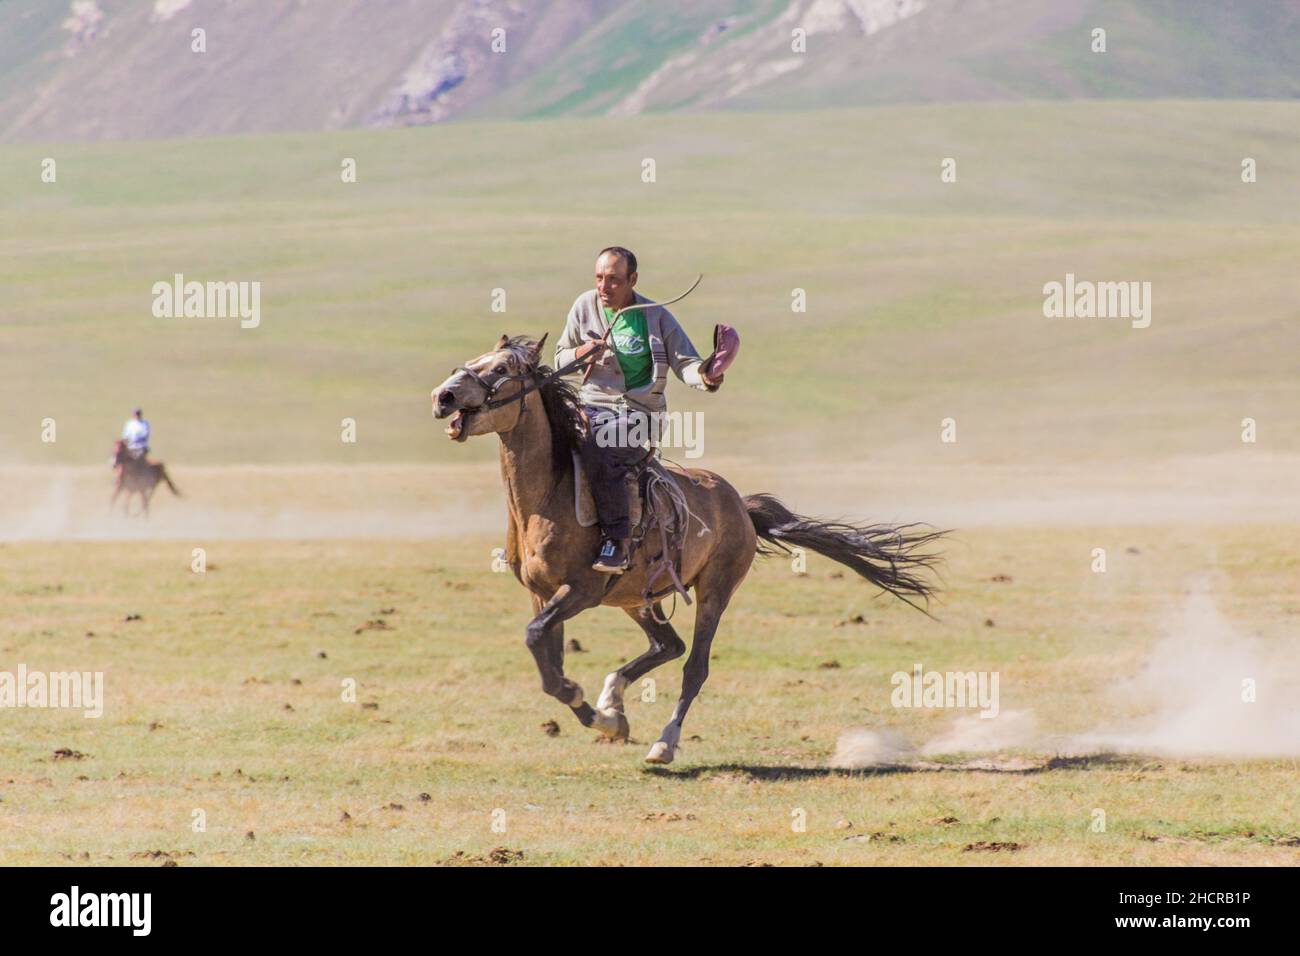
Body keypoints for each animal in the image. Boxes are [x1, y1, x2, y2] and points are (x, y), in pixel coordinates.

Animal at [431, 334, 944, 764]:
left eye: (501, 368)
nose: (443, 397)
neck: (547, 496)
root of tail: (740, 505)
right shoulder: (541, 593)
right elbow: (548, 663)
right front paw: (605, 719)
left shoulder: (580, 590)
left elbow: (539, 643)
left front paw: (598, 712)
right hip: (637, 598)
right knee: (668, 644)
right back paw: (614, 700)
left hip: (713, 592)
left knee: (694, 666)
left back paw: (664, 743)